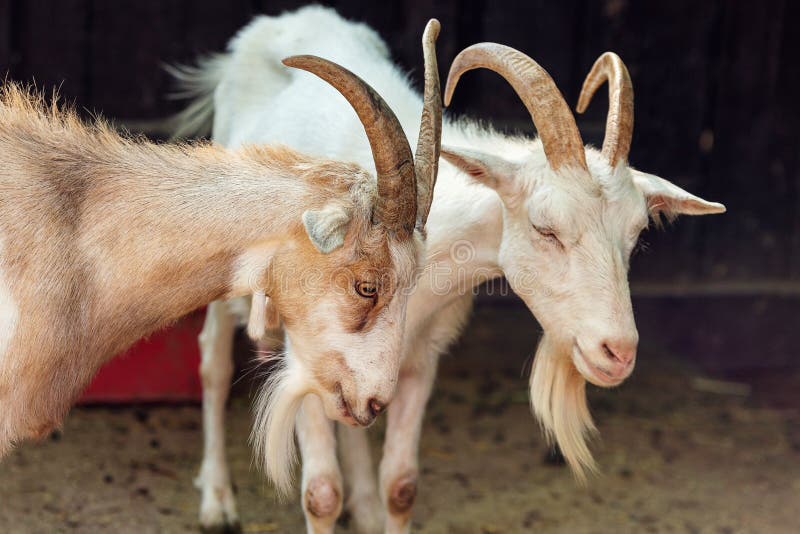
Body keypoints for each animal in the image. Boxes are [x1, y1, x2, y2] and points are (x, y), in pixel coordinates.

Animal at [173, 6, 725, 532]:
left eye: (636, 233)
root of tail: (280, 22)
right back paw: (216, 501)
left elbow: (401, 485)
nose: (618, 352)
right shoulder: (304, 351)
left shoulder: (422, 358)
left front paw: (378, 503)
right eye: (545, 228)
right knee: (213, 366)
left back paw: (363, 509)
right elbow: (320, 494)